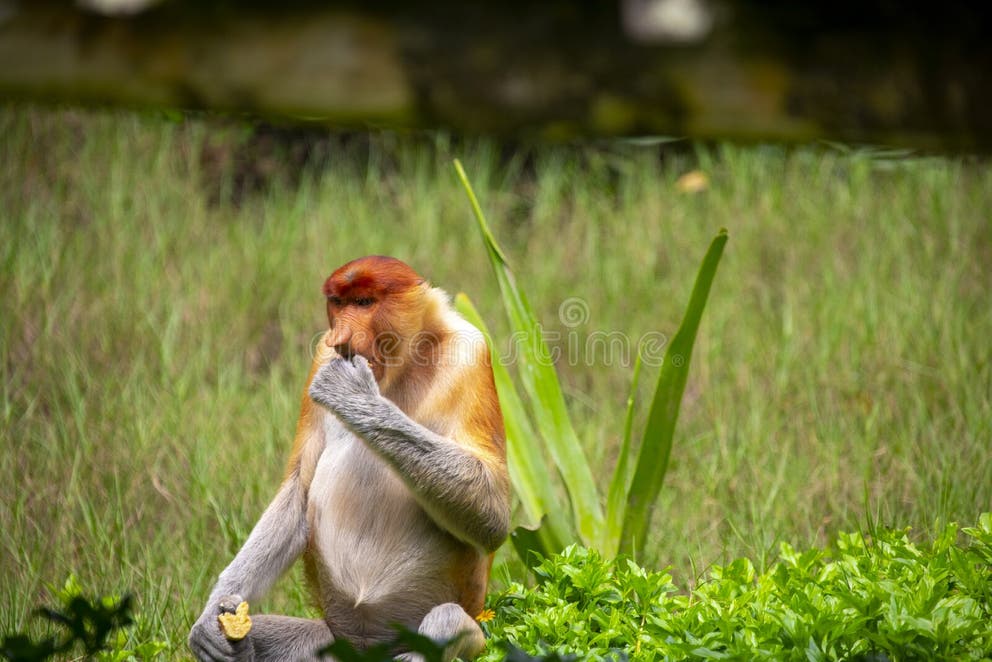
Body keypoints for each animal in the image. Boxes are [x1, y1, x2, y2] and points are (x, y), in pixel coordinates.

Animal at [188, 256, 510, 662]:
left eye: (364, 303)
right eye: (338, 304)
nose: (339, 337)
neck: (404, 365)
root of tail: (366, 649)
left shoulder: (471, 354)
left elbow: (493, 515)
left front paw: (354, 396)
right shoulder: (321, 357)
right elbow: (298, 491)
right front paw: (209, 622)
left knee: (447, 619)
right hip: (330, 638)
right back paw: (238, 645)